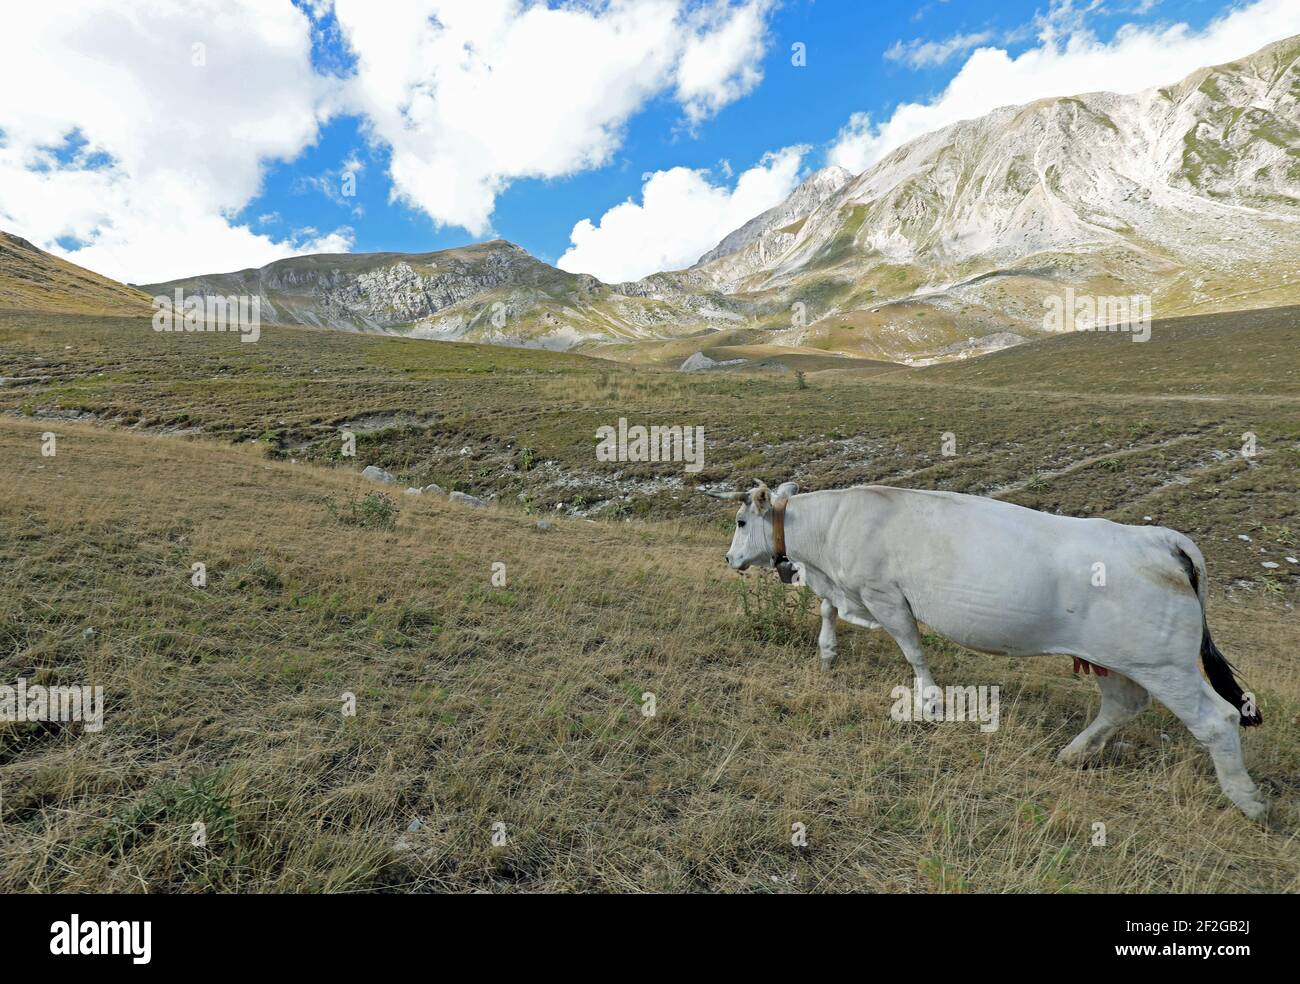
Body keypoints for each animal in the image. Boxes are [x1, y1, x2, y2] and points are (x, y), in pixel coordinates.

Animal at [703, 480, 1267, 820]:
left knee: (1216, 719)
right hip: (1119, 660)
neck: (830, 534)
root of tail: (1160, 539)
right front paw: (827, 654)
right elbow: (826, 610)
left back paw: (1247, 801)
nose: (729, 558)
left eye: (739, 522)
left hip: (1164, 664)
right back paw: (1073, 753)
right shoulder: (849, 589)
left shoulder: (885, 594)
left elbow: (912, 651)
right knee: (1124, 705)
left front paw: (929, 701)